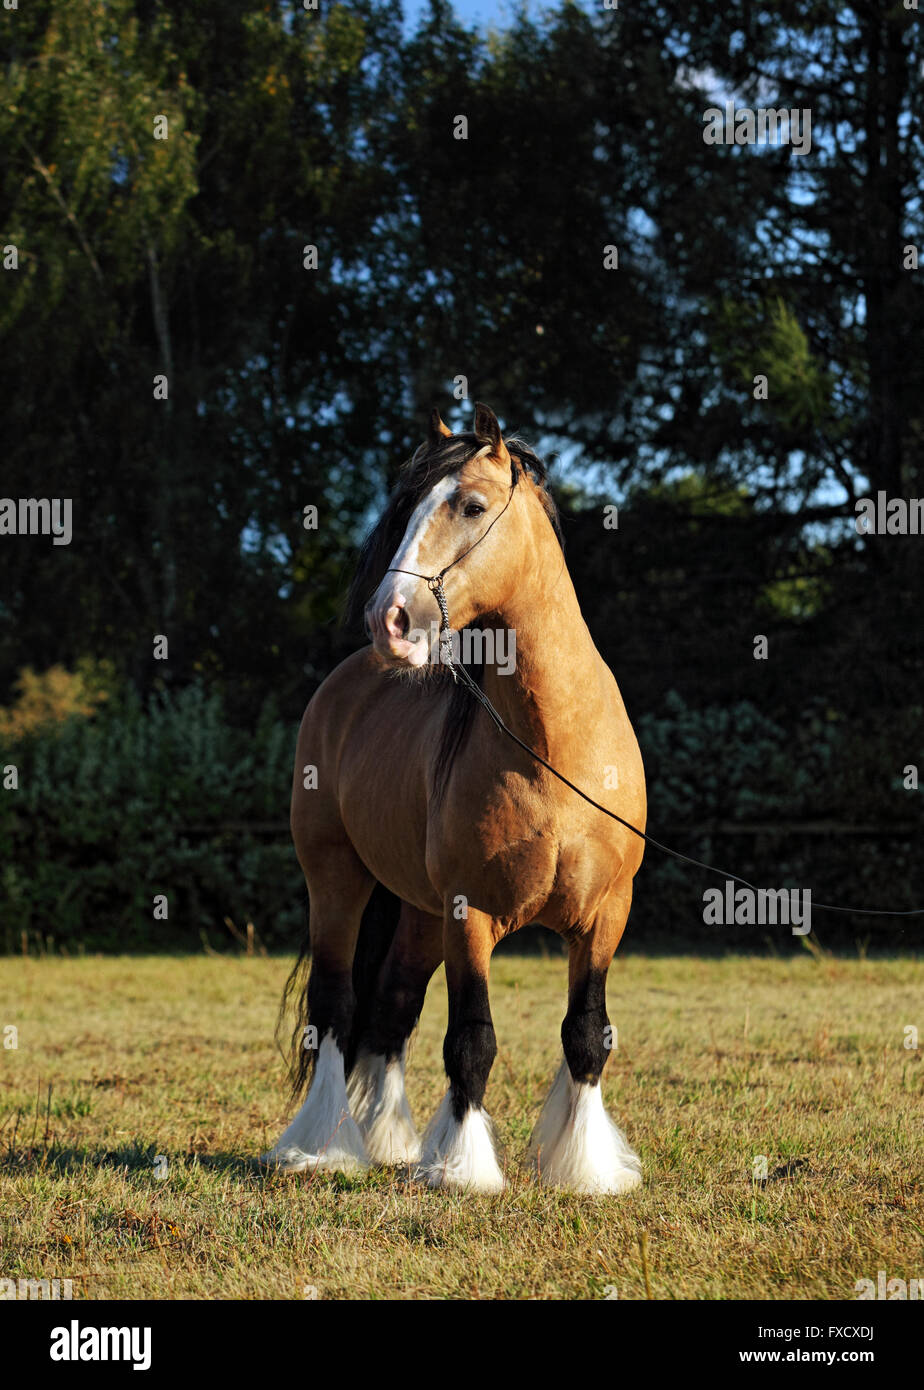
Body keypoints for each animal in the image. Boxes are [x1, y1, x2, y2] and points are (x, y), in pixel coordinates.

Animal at [261, 402, 646, 1194]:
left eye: (469, 505)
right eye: (407, 507)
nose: (390, 620)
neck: (555, 751)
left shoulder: (604, 916)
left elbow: (586, 1035)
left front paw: (584, 1167)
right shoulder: (473, 916)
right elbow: (472, 1039)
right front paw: (462, 1168)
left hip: (417, 912)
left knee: (392, 1008)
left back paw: (387, 1140)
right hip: (337, 882)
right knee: (337, 1008)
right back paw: (323, 1146)